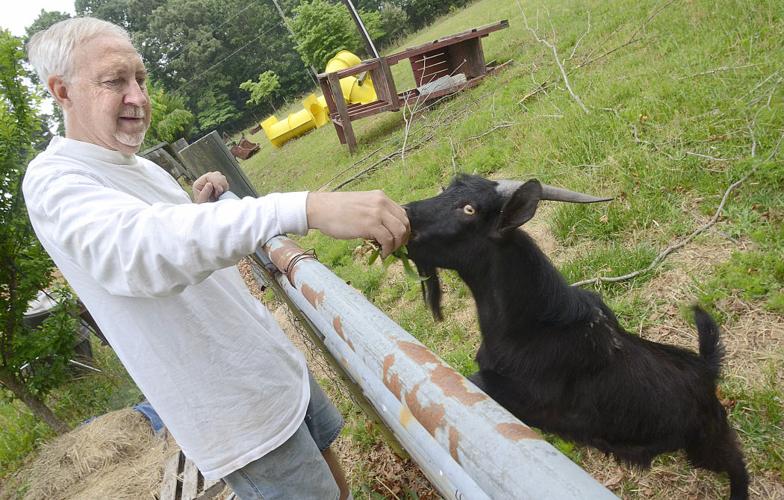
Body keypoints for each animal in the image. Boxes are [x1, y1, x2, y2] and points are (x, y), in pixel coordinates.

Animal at [404, 174, 749, 499]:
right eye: (446, 189)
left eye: (469, 209)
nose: (407, 214)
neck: (529, 328)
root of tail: (705, 369)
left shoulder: (531, 402)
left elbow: (475, 382)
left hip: (705, 437)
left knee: (736, 462)